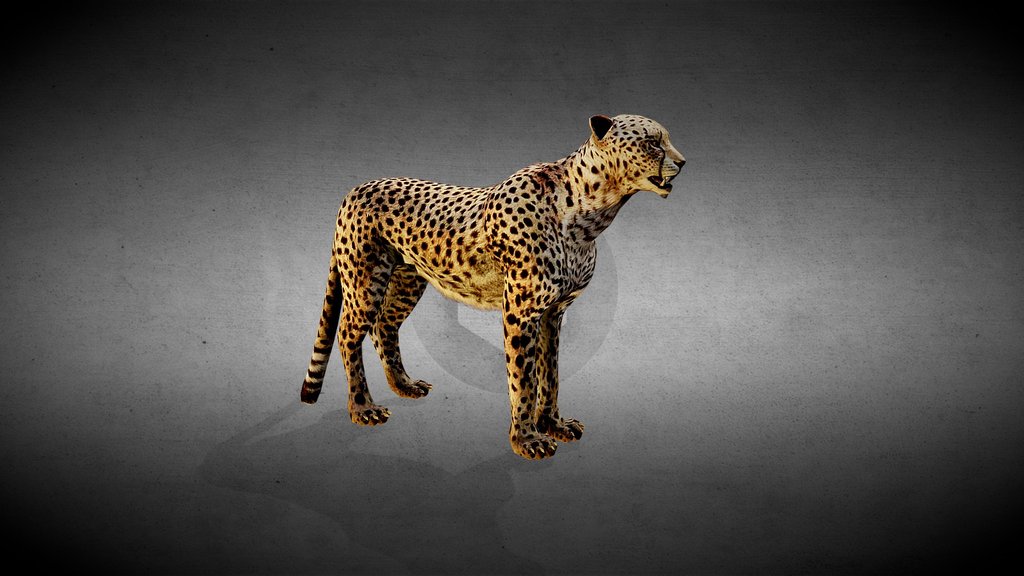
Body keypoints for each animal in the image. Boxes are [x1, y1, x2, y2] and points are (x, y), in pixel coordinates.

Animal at [300, 114, 685, 460]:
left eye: (665, 139)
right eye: (652, 142)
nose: (682, 162)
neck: (589, 211)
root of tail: (357, 187)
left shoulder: (552, 313)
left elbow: (551, 374)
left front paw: (553, 424)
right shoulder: (520, 312)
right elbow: (523, 379)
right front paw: (527, 440)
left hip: (408, 279)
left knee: (384, 326)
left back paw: (404, 385)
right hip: (365, 281)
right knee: (348, 334)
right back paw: (363, 408)